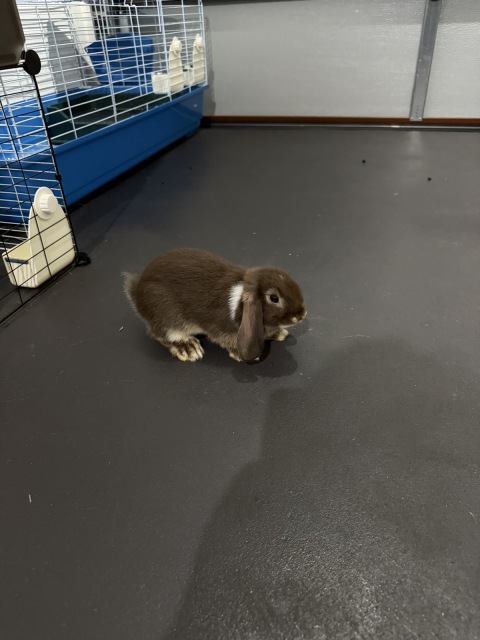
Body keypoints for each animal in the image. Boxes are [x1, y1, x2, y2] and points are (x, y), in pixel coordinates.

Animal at [123, 248, 307, 363]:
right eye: (274, 298)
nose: (302, 315)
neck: (240, 302)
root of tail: (137, 293)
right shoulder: (220, 330)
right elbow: (226, 341)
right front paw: (241, 354)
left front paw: (279, 333)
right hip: (167, 319)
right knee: (161, 336)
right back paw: (188, 348)